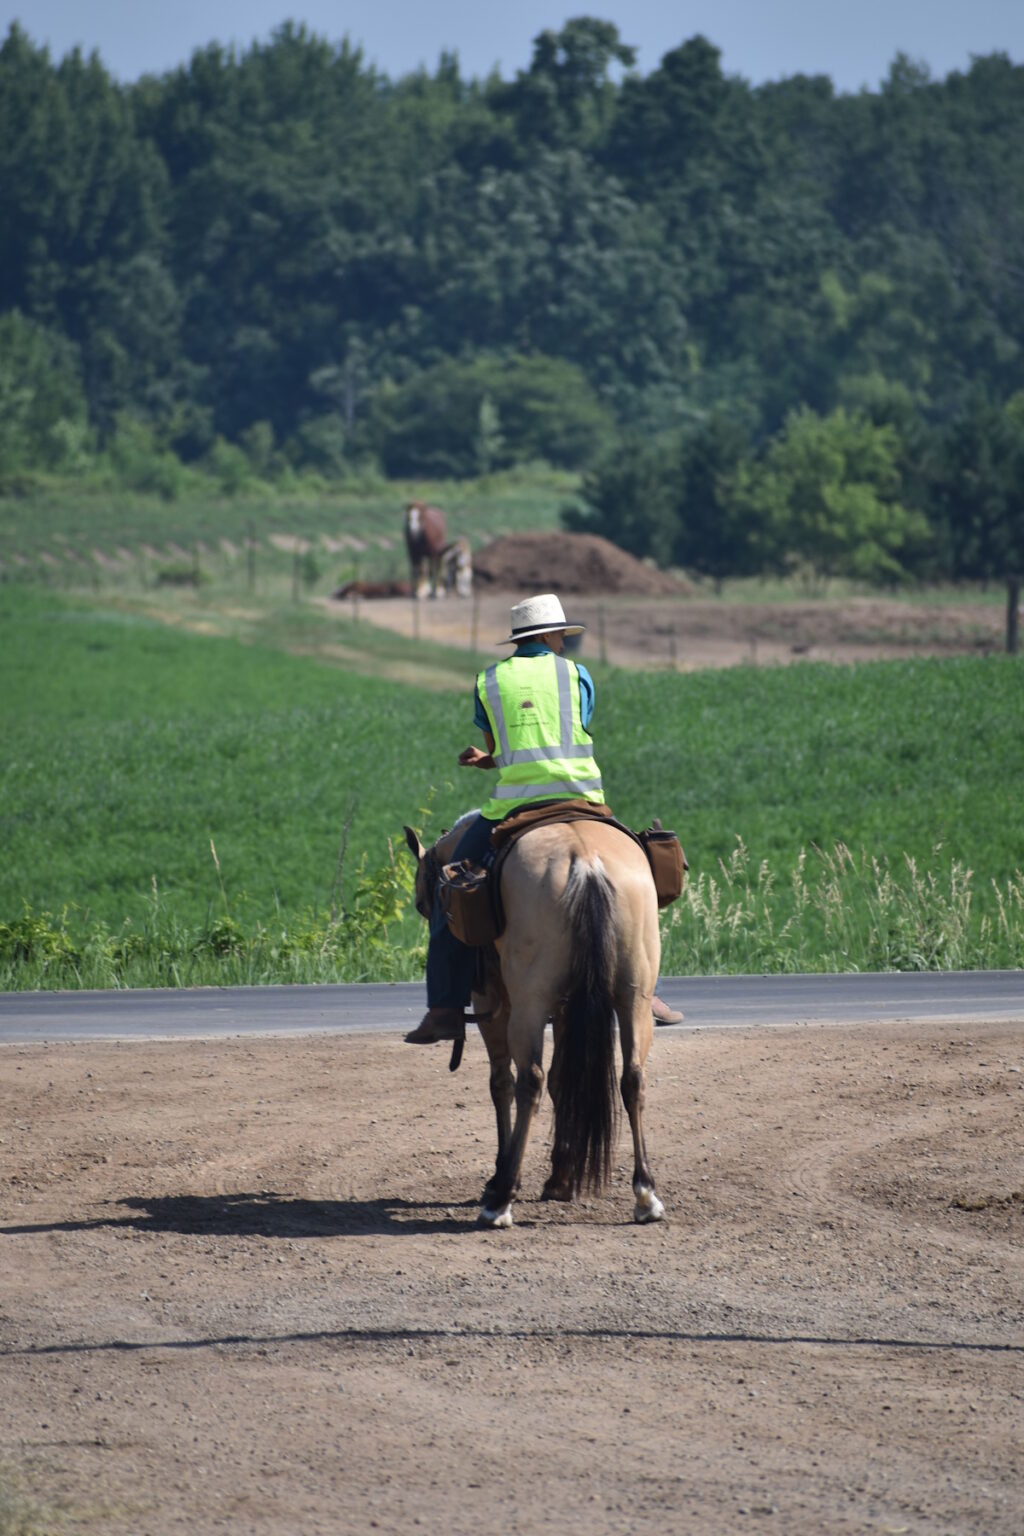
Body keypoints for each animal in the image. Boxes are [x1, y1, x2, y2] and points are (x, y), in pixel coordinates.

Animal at [403, 814, 665, 1229]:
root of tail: (586, 864)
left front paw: (500, 1174)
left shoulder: (493, 1004)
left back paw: (501, 1199)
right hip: (633, 999)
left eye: (421, 903)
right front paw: (561, 1179)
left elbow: (502, 1084)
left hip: (528, 1005)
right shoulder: (566, 1008)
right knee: (632, 1079)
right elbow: (562, 1081)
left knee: (530, 1082)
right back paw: (645, 1195)